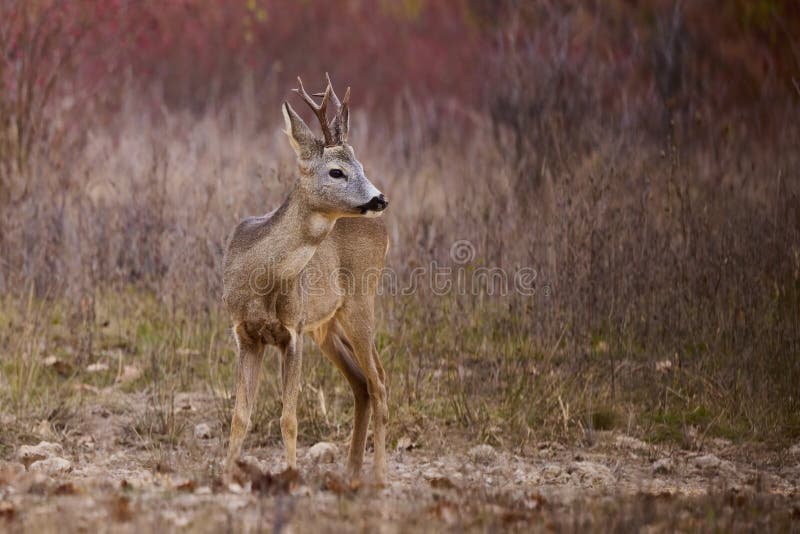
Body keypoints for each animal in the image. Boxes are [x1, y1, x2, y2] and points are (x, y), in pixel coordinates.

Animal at [221, 74, 390, 486]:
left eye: (361, 164)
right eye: (336, 171)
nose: (379, 199)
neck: (258, 278)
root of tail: (384, 231)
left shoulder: (292, 330)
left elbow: (289, 418)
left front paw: (291, 475)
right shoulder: (244, 333)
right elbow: (239, 416)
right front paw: (228, 474)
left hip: (360, 303)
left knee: (379, 383)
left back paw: (377, 478)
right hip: (326, 326)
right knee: (362, 383)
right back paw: (351, 472)